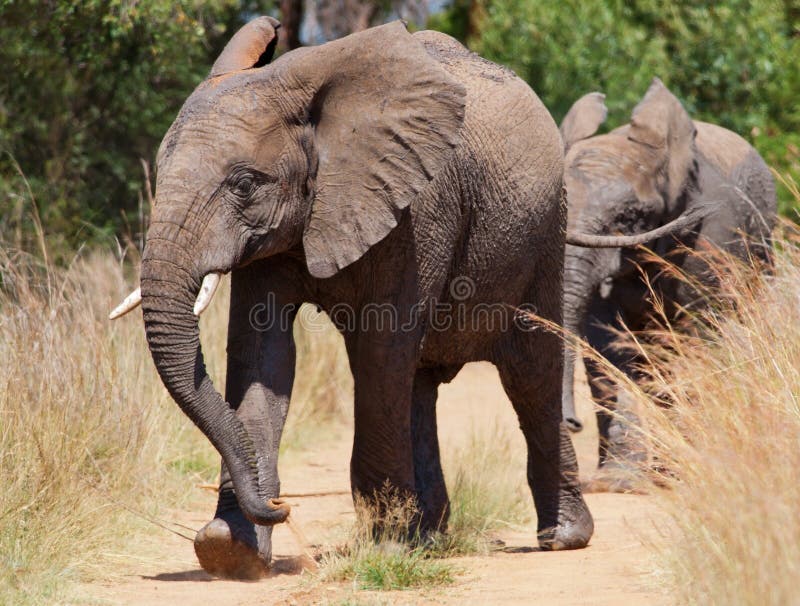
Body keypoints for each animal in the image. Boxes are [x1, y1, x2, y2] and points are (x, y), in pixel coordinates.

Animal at [558, 79, 776, 483]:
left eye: (628, 217)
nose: (572, 424)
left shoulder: (712, 237)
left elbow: (695, 333)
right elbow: (609, 343)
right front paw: (616, 480)